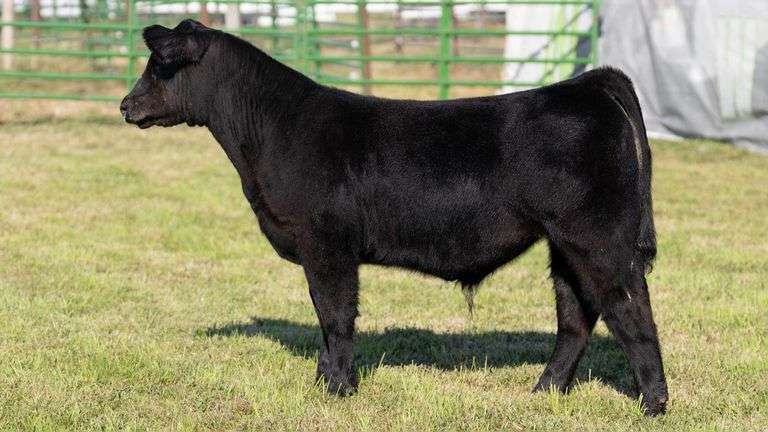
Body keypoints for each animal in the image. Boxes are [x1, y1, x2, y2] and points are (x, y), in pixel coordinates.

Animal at [120, 19, 668, 416]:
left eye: (160, 65)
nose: (126, 105)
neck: (275, 131)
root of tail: (586, 83)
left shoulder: (328, 244)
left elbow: (336, 315)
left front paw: (339, 389)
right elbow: (324, 318)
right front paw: (324, 381)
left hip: (599, 238)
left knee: (630, 309)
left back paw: (653, 404)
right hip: (565, 243)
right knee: (576, 315)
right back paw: (545, 391)